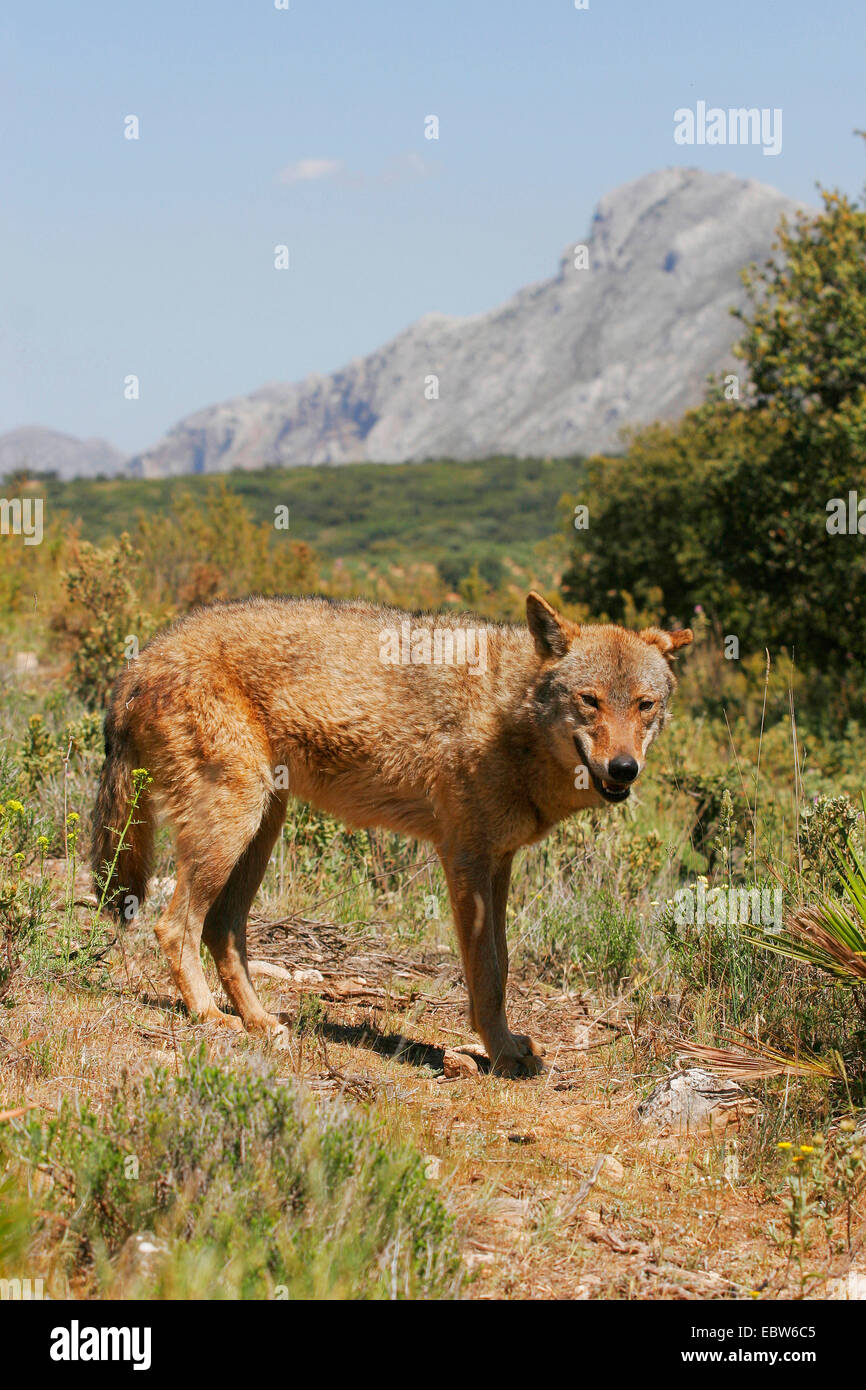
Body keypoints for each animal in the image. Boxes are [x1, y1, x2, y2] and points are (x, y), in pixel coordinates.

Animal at [91, 592, 691, 1076]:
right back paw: (209, 1017)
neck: (508, 716)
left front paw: (505, 1044)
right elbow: (487, 971)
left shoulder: (499, 862)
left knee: (222, 932)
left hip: (259, 830)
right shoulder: (466, 858)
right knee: (174, 926)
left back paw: (264, 1022)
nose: (624, 769)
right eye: (589, 700)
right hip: (231, 826)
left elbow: (500, 967)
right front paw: (500, 1055)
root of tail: (140, 660)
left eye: (646, 705)